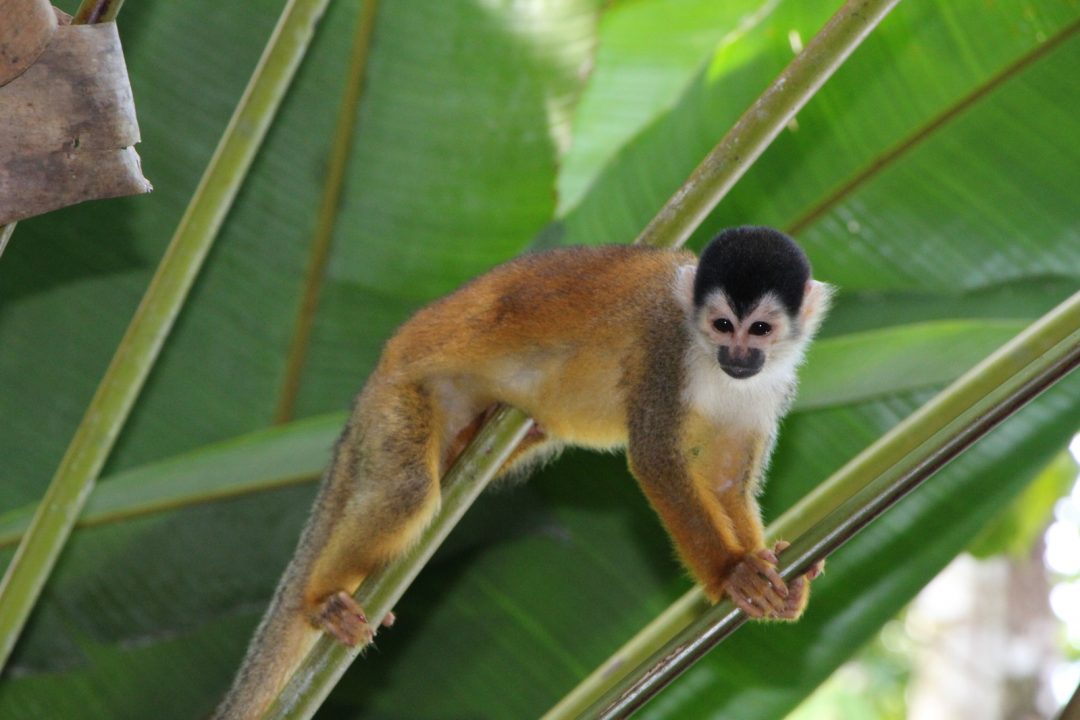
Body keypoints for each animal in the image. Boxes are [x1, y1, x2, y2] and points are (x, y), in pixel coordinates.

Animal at [213, 226, 832, 719]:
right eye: (723, 324)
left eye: (759, 330)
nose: (738, 356)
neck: (710, 360)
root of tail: (377, 372)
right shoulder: (665, 346)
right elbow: (657, 459)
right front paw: (732, 575)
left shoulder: (771, 386)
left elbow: (726, 478)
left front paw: (774, 575)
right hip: (398, 397)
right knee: (408, 492)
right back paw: (320, 599)